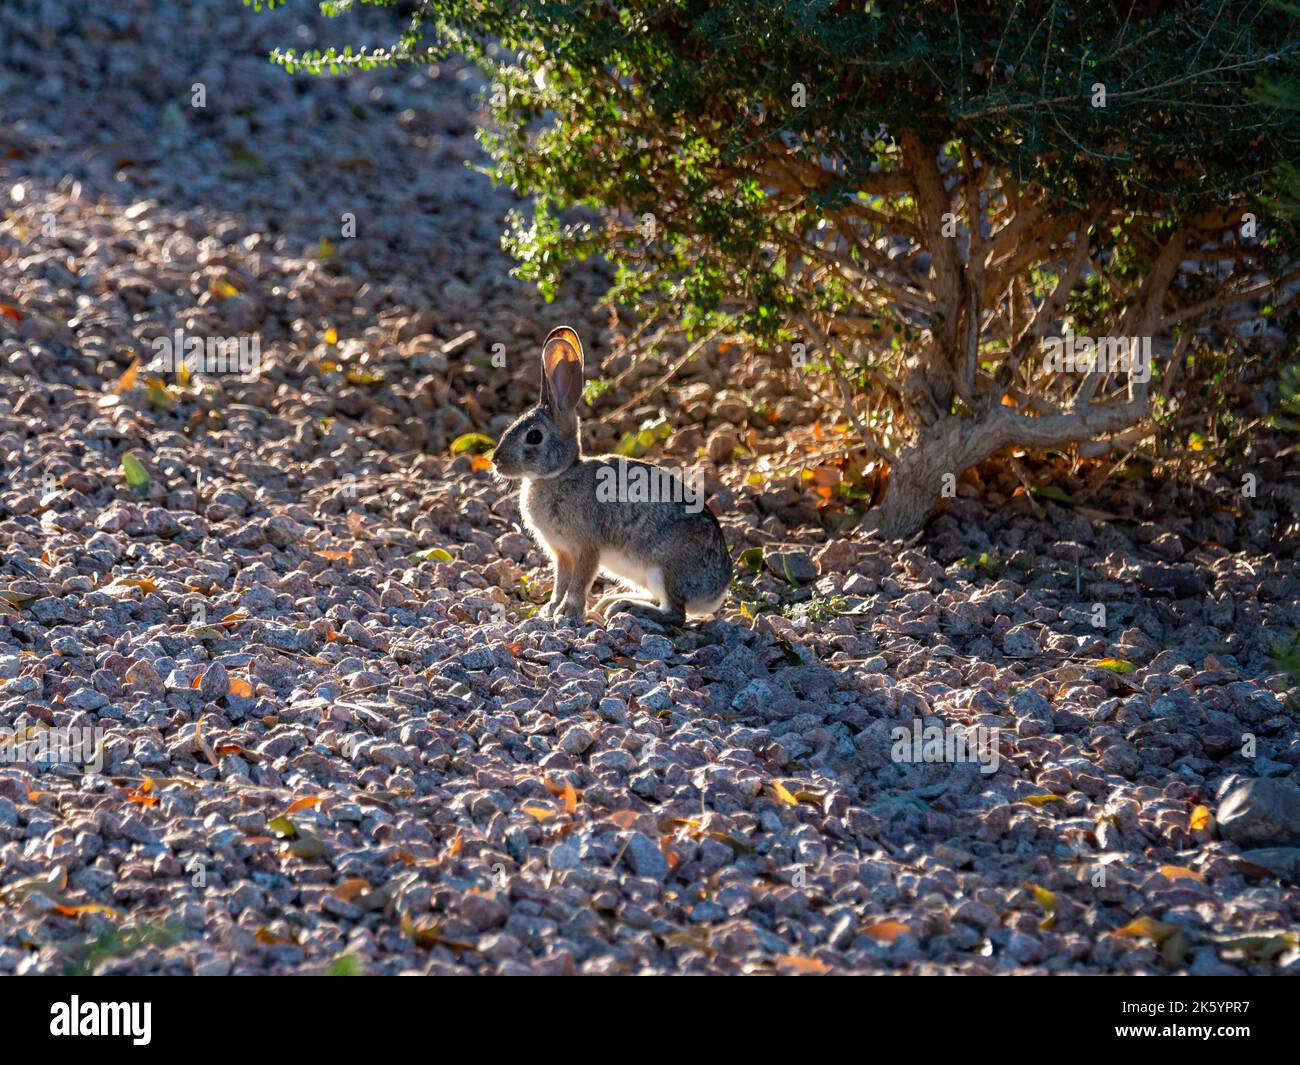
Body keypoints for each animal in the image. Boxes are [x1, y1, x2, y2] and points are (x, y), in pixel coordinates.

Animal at [492, 326, 732, 626]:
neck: (559, 475)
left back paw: (627, 608)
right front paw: (549, 610)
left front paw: (567, 614)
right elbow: (561, 582)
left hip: (663, 569)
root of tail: (717, 590)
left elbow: (578, 583)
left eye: (534, 436)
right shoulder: (561, 553)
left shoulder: (586, 547)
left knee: (676, 614)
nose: (495, 461)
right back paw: (613, 601)